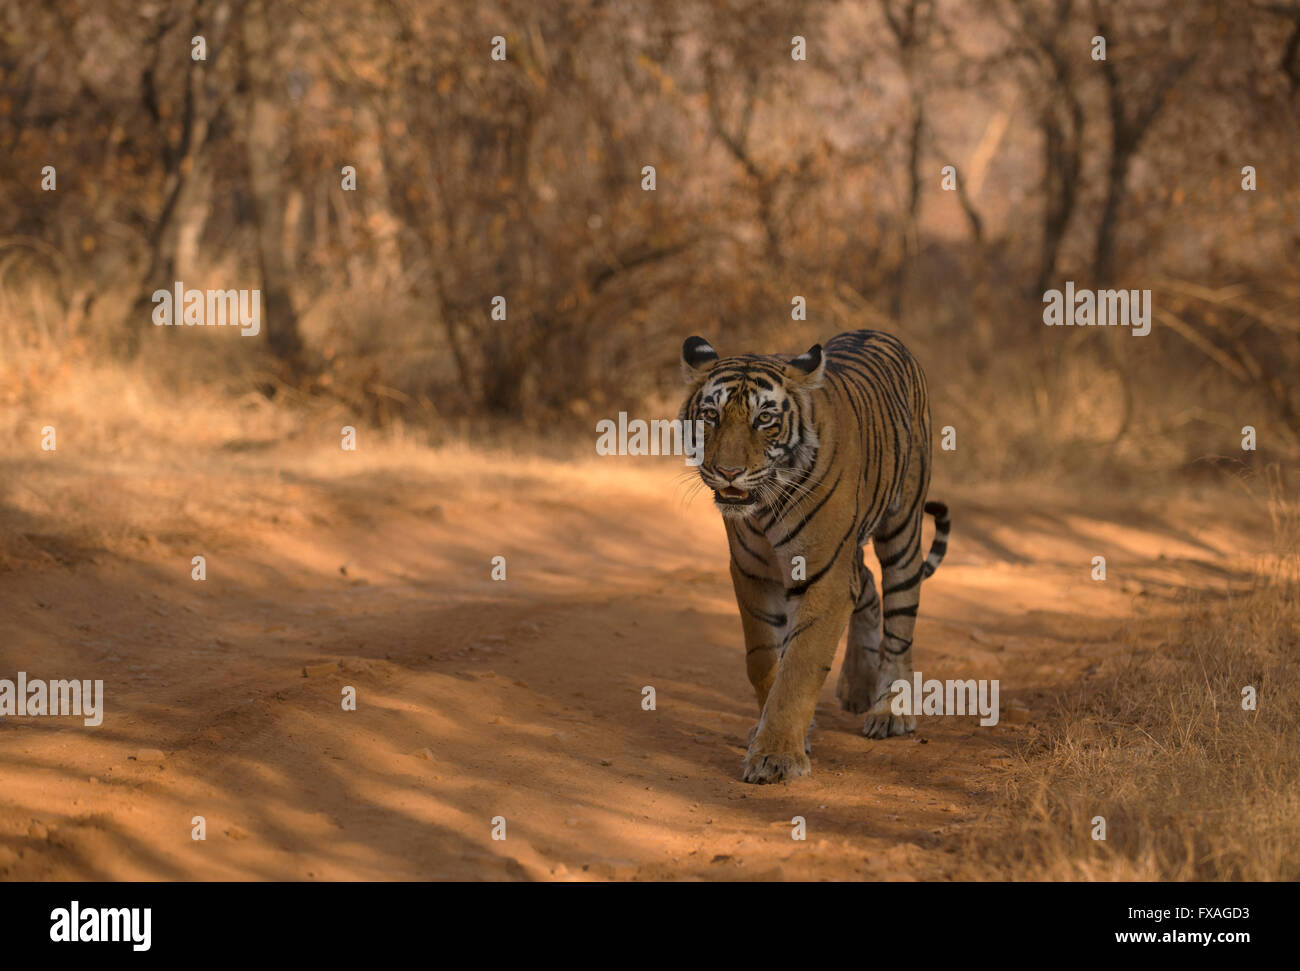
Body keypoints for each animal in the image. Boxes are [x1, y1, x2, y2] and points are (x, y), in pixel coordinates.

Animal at [678, 329, 950, 784]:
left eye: (764, 420)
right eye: (710, 416)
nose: (728, 472)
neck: (763, 509)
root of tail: (878, 332)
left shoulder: (824, 577)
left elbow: (800, 665)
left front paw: (776, 756)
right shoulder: (753, 575)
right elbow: (763, 659)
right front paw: (777, 733)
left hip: (903, 528)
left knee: (899, 621)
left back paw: (890, 711)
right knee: (868, 585)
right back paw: (857, 686)